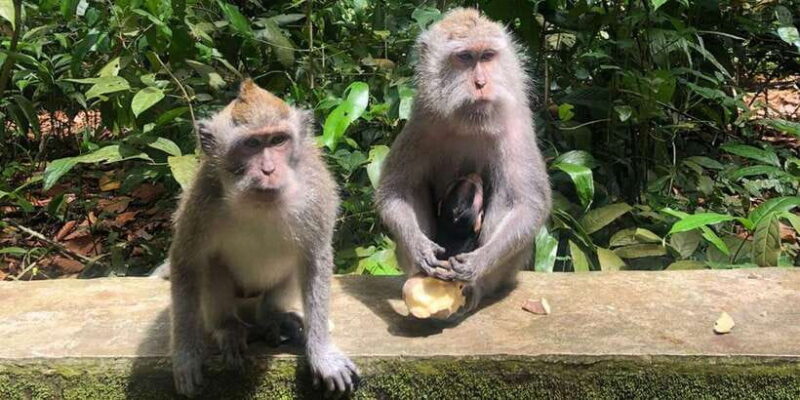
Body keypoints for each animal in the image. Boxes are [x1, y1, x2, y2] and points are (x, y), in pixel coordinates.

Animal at [168, 79, 358, 397]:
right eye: (252, 144)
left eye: (278, 140)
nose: (269, 170)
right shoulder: (203, 199)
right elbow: (187, 262)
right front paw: (185, 356)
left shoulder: (316, 195)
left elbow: (315, 259)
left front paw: (322, 353)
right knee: (212, 266)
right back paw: (228, 328)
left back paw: (272, 318)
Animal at [376, 8, 552, 316]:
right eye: (466, 57)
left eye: (487, 56)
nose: (481, 83)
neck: (471, 122)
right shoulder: (422, 121)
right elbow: (395, 191)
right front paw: (419, 248)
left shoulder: (516, 126)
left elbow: (529, 203)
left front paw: (478, 263)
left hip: (507, 271)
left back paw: (473, 289)